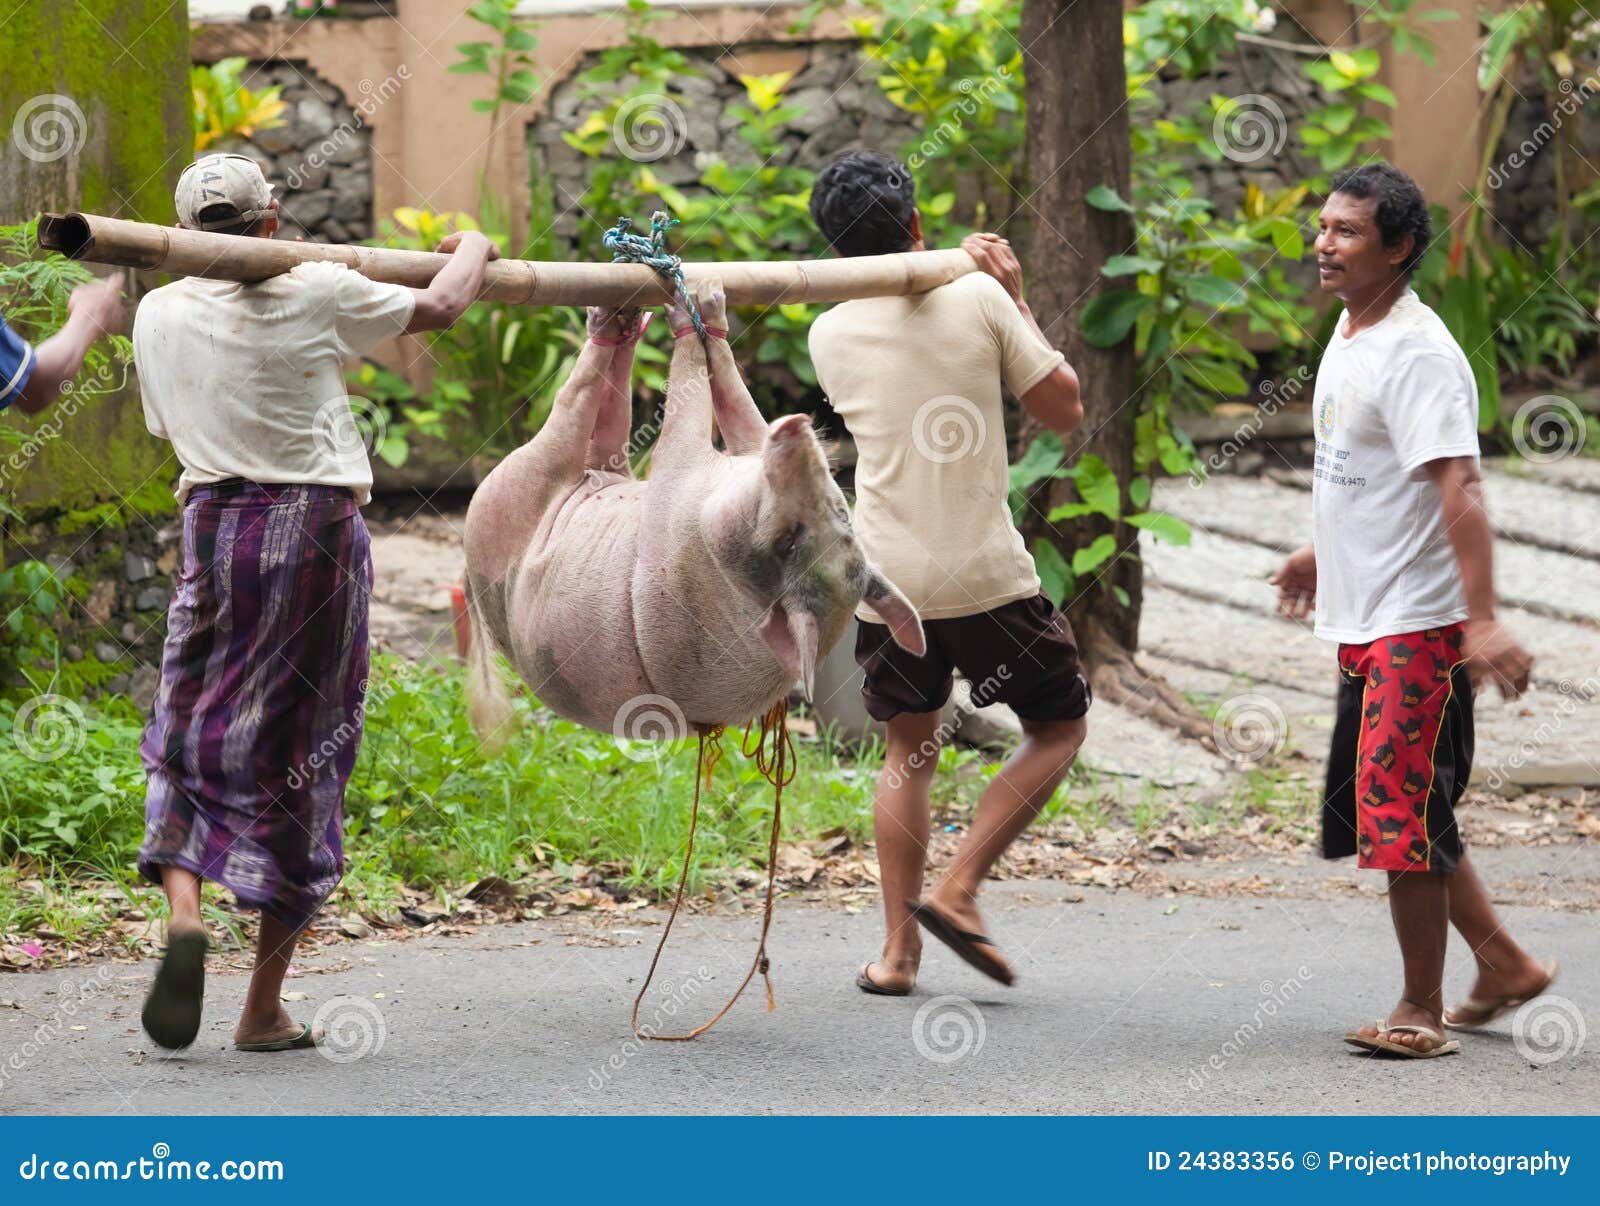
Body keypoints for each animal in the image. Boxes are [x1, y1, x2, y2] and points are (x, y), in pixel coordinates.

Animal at [463, 279, 925, 744]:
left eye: (790, 542)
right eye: (842, 512)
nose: (796, 423)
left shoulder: (675, 493)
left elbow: (683, 415)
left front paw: (694, 309)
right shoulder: (741, 453)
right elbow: (743, 412)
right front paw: (712, 307)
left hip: (519, 485)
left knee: (571, 409)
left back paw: (611, 326)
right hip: (603, 469)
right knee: (608, 435)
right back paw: (625, 320)